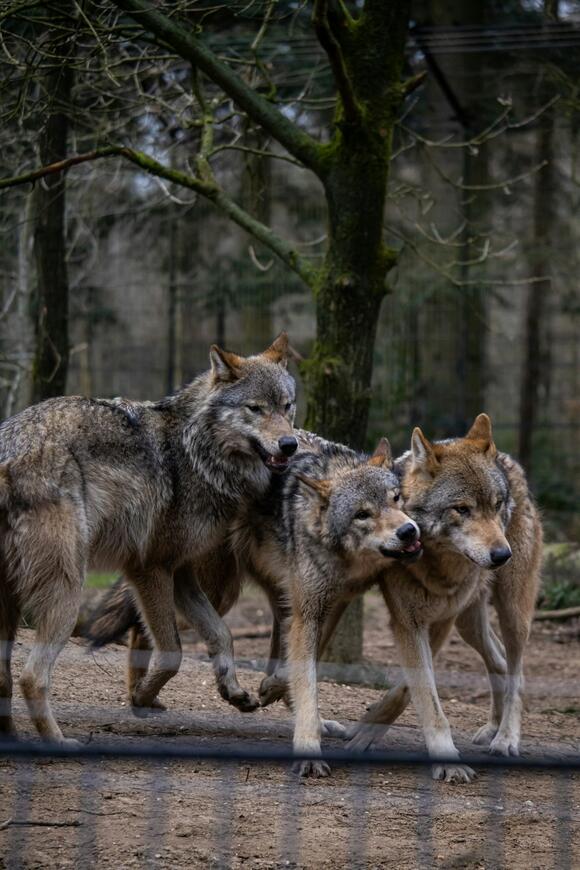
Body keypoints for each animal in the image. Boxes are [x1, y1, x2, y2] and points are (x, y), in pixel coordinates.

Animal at [0, 333, 297, 743]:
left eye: (287, 406)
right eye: (255, 408)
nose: (290, 444)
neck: (197, 453)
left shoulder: (182, 572)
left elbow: (222, 635)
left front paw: (233, 691)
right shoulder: (149, 568)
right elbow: (172, 652)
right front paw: (141, 697)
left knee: (5, 677)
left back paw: (12, 736)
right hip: (68, 592)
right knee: (32, 677)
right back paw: (58, 742)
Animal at [346, 414, 542, 782]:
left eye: (496, 505)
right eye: (461, 509)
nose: (502, 555)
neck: (438, 566)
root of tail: (508, 460)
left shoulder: (439, 622)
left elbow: (410, 691)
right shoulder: (409, 622)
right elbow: (422, 692)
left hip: (511, 614)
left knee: (516, 670)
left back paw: (505, 738)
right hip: (469, 623)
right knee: (498, 661)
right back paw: (492, 728)